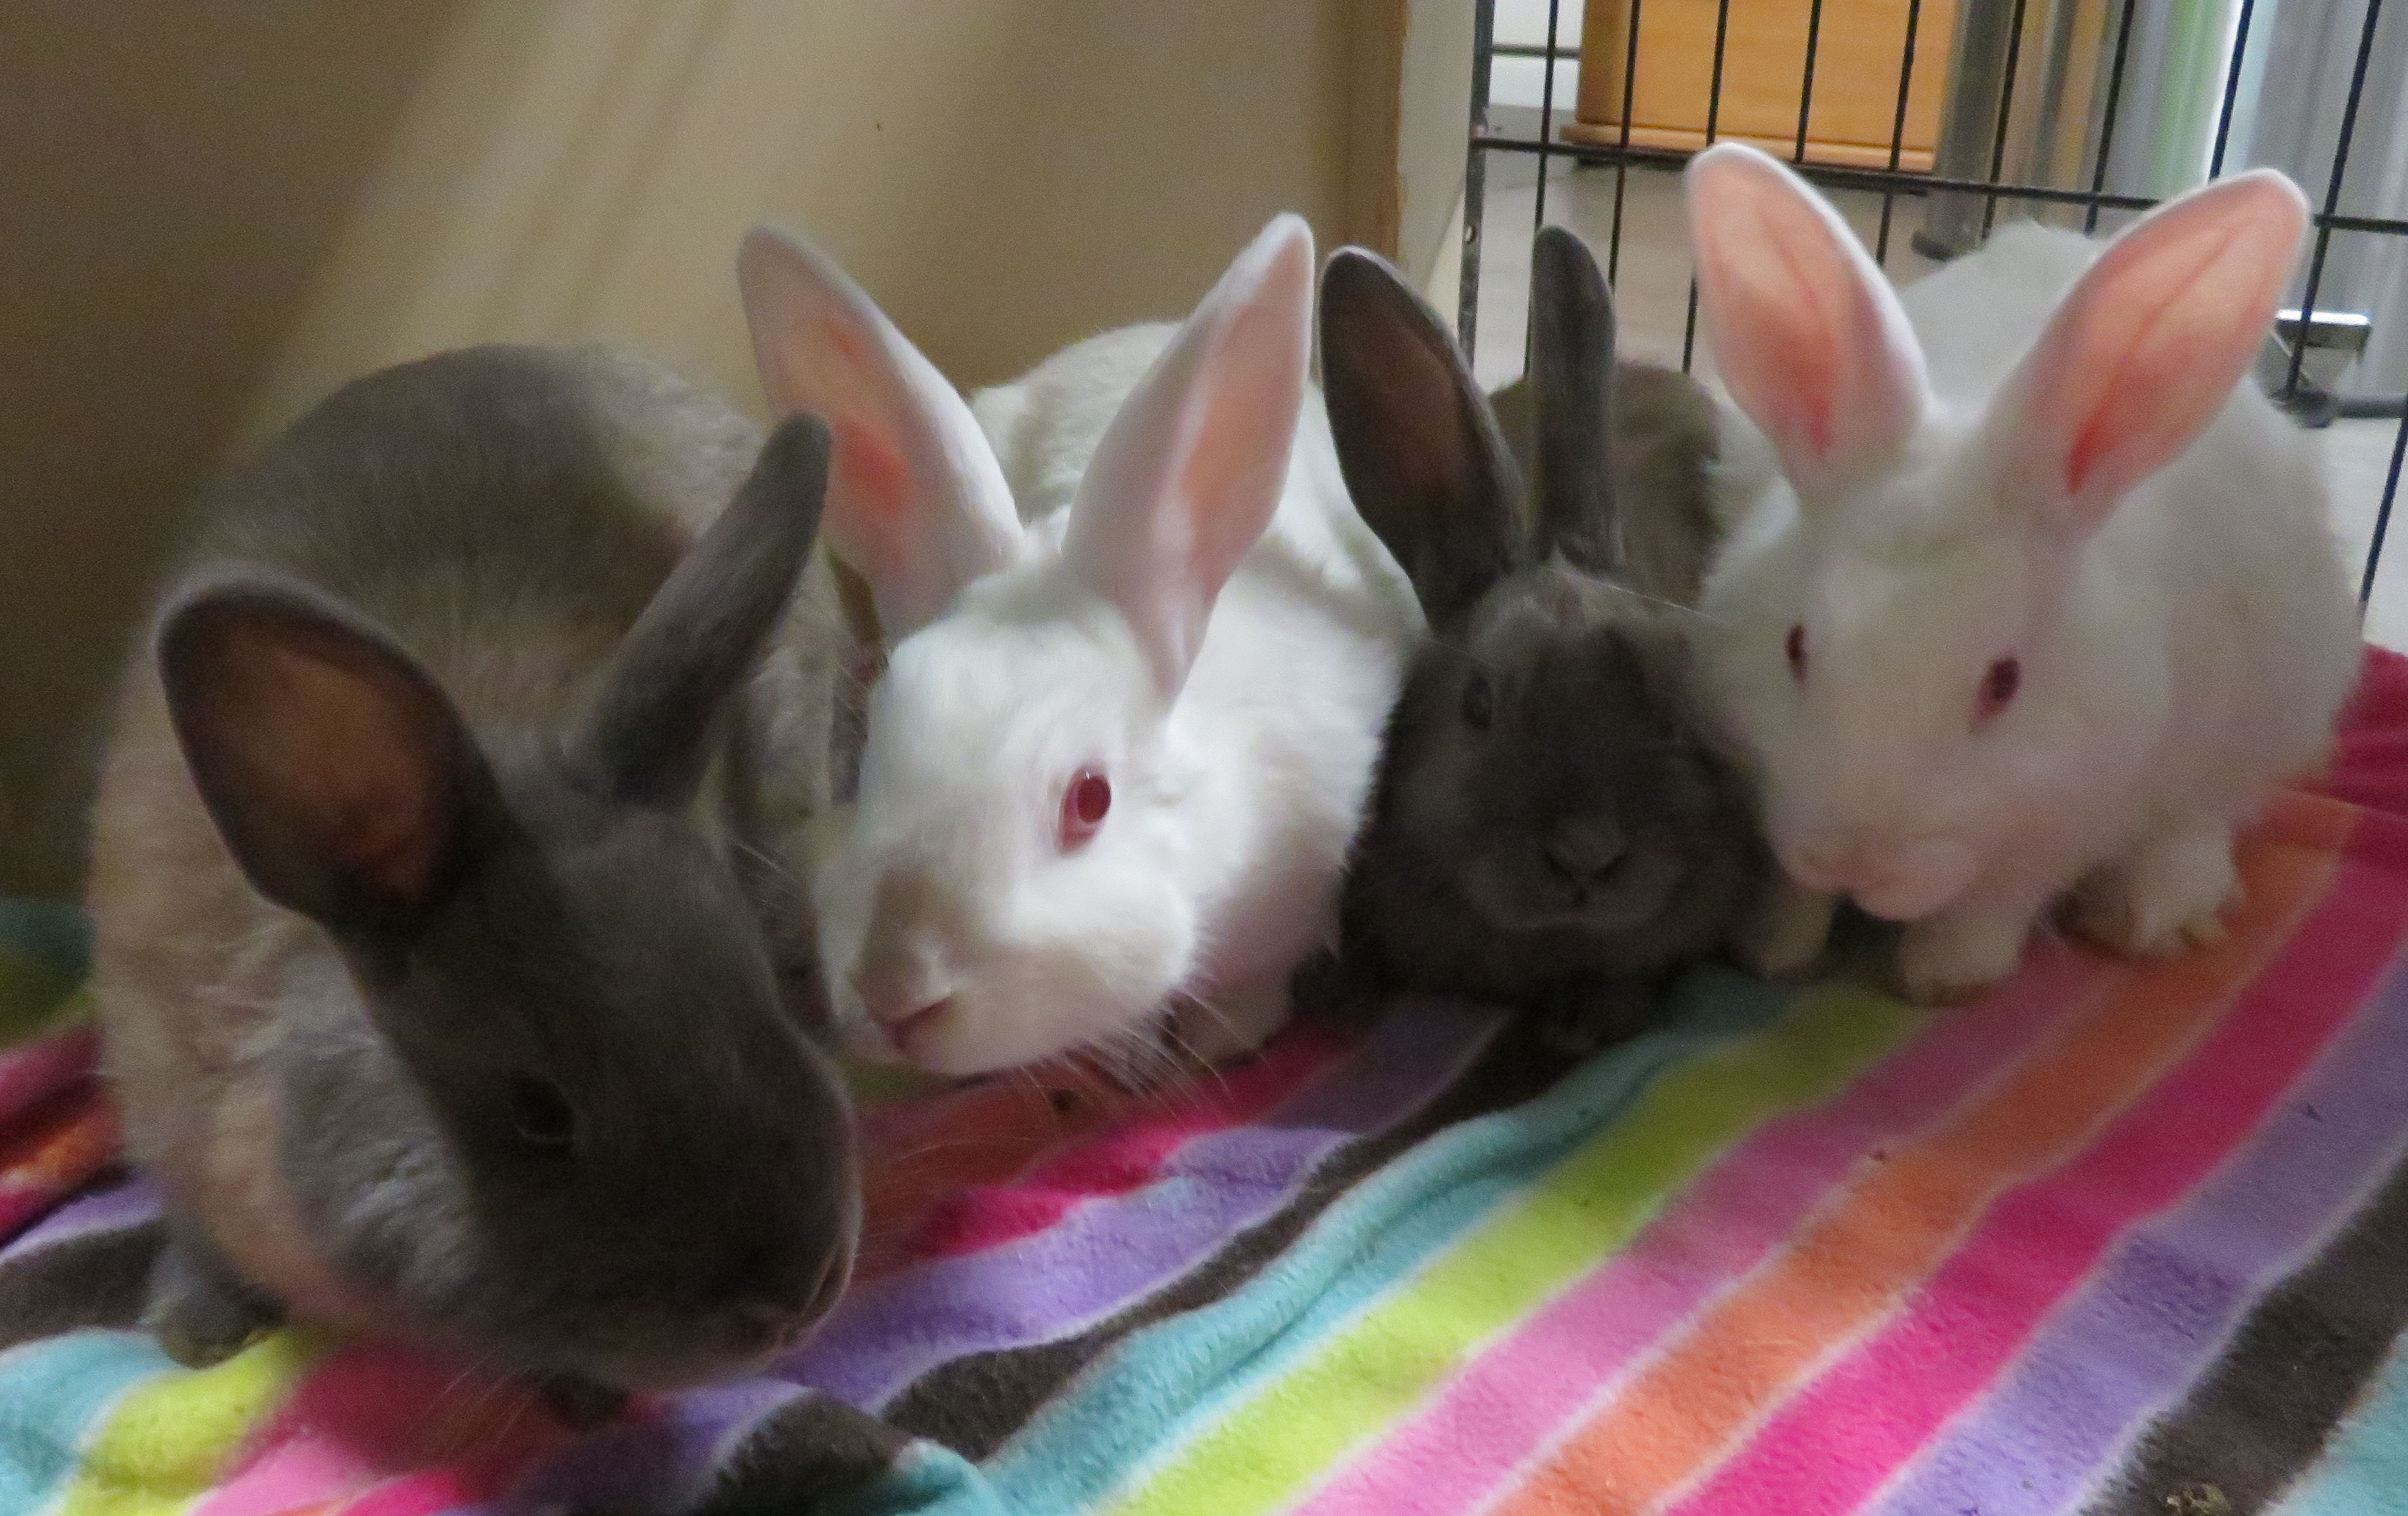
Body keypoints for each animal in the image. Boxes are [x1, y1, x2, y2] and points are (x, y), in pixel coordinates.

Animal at [1682, 142, 2361, 1004]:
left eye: (2003, 684)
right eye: (1795, 648)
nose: (1856, 860)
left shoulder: (2066, 813)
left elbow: (1993, 903)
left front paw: (1943, 978)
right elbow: (1786, 887)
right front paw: (1775, 950)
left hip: (2276, 699)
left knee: (2205, 811)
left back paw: (2157, 911)